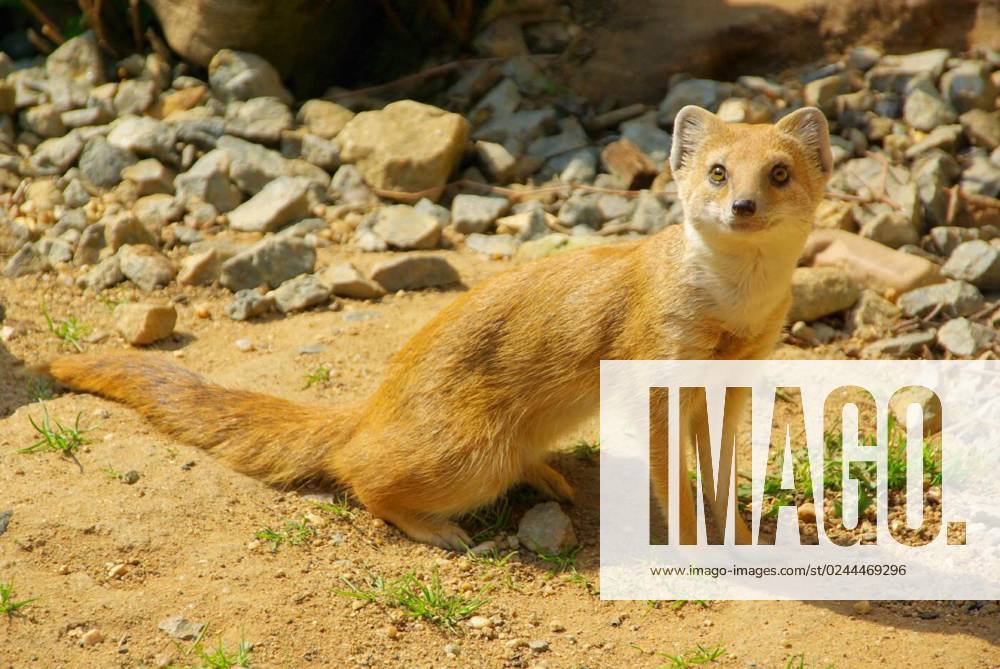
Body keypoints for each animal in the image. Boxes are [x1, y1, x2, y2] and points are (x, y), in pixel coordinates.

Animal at [45, 105, 832, 549]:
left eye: (781, 172)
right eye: (719, 171)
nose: (745, 206)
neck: (734, 312)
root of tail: (372, 406)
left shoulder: (742, 371)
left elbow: (721, 465)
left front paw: (740, 528)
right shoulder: (658, 360)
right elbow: (673, 474)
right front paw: (695, 543)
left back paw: (549, 476)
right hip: (467, 452)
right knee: (360, 471)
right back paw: (445, 530)